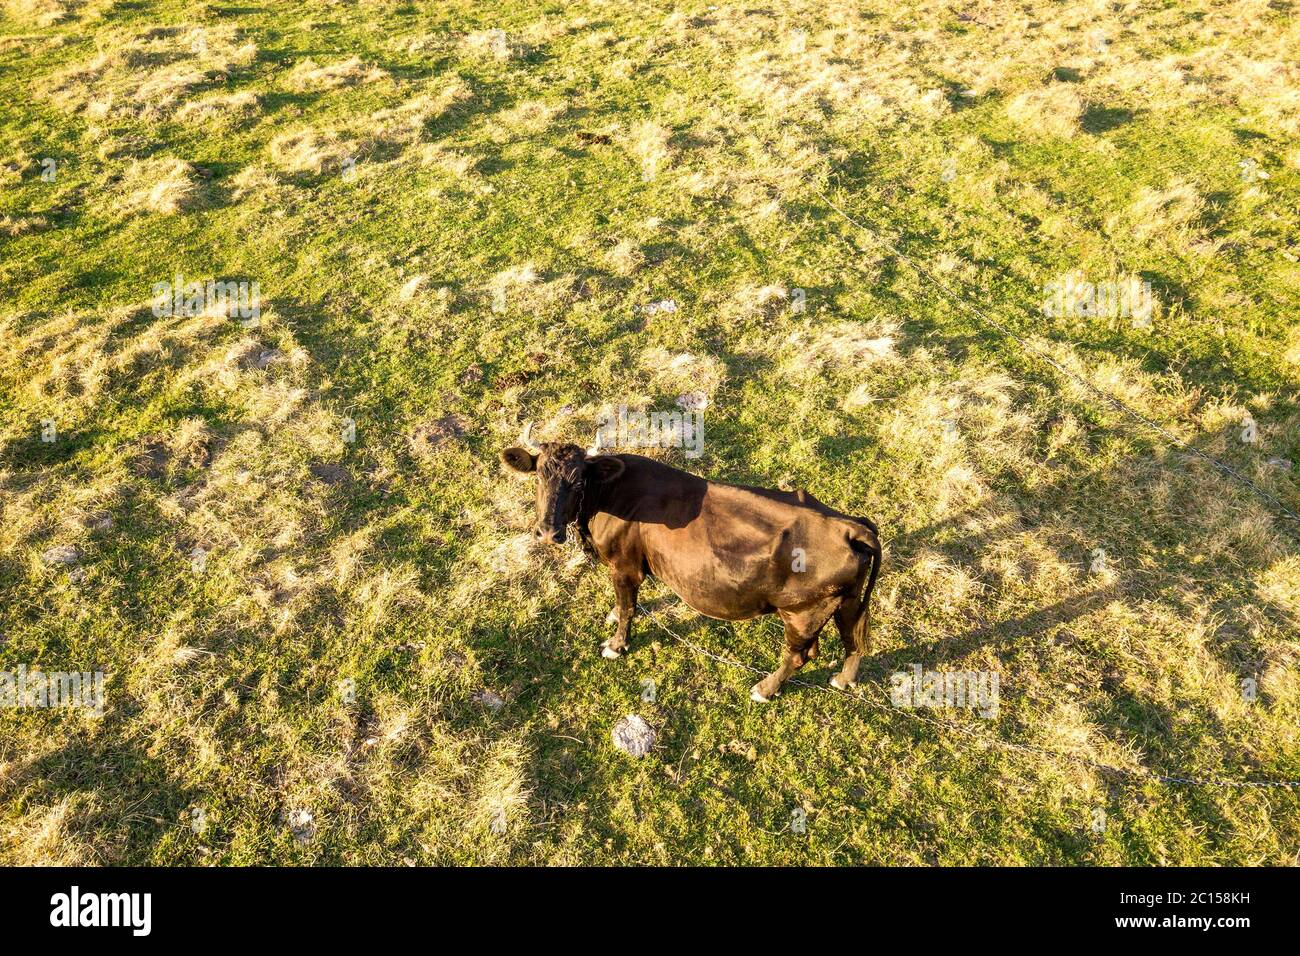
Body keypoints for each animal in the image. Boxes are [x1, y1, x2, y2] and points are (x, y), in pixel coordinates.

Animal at [501, 422, 882, 702]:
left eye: (579, 480)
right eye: (540, 476)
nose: (548, 533)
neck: (606, 497)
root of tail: (849, 527)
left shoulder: (625, 565)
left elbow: (627, 607)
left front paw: (616, 645)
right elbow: (622, 604)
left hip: (802, 614)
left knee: (800, 654)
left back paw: (764, 689)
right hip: (845, 602)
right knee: (854, 638)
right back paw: (843, 679)